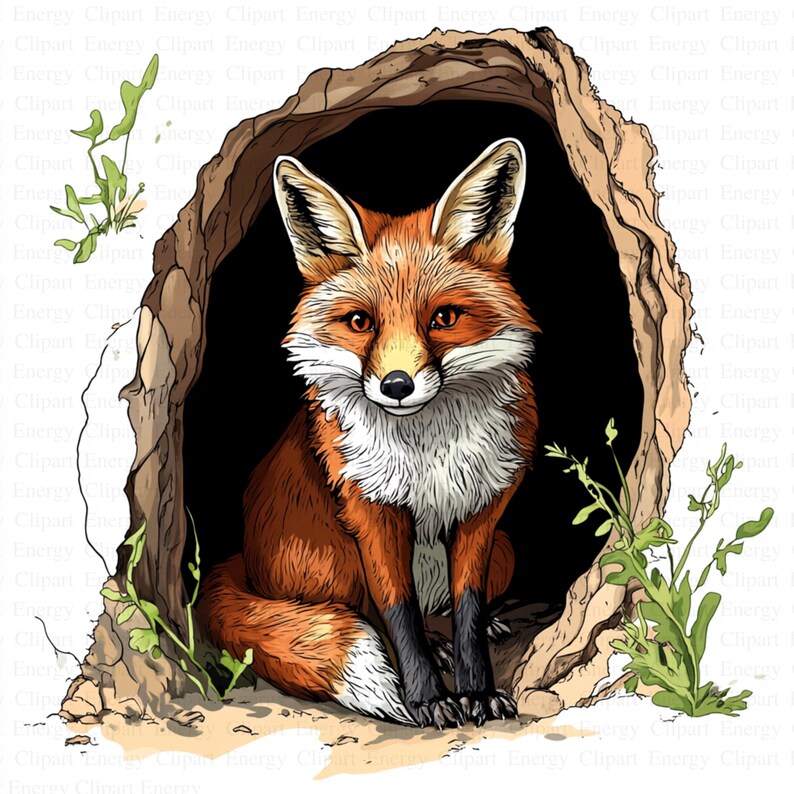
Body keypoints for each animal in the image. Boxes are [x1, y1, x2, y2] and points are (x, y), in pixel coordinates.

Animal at [199, 138, 539, 729]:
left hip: (506, 550)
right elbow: (396, 613)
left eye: (443, 319)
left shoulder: (483, 512)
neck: (430, 456)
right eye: (361, 323)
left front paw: (476, 689)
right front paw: (427, 699)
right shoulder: (371, 512)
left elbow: (468, 607)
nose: (397, 385)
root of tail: (241, 558)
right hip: (334, 561)